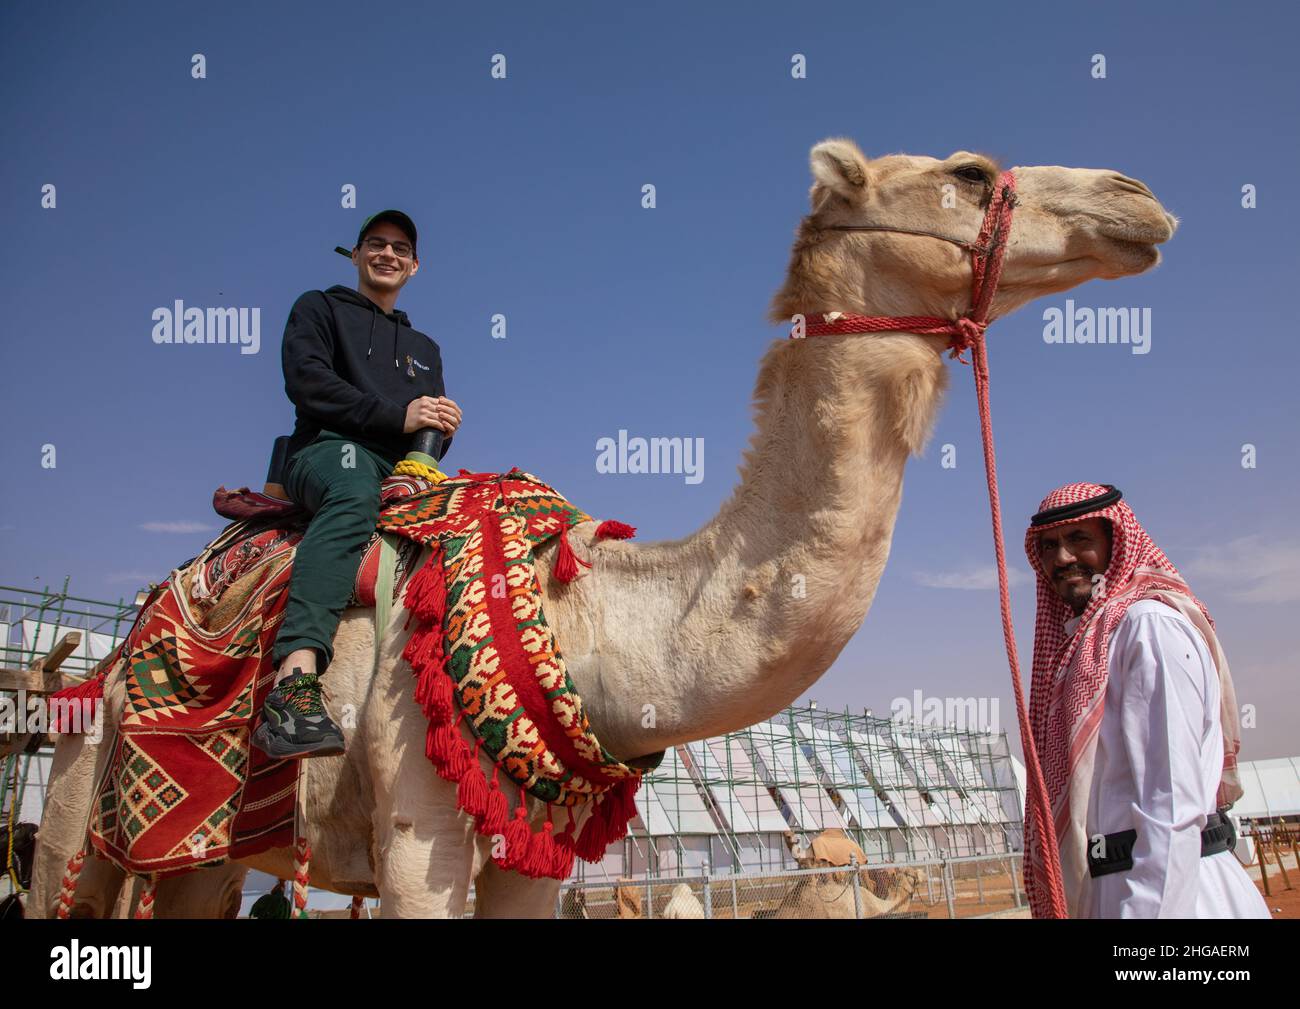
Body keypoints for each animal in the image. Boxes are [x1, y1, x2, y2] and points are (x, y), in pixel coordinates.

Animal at [28, 139, 1177, 918]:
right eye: (970, 171)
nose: (1140, 197)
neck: (592, 622)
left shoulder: (535, 852)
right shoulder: (415, 829)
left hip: (205, 850)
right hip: (79, 796)